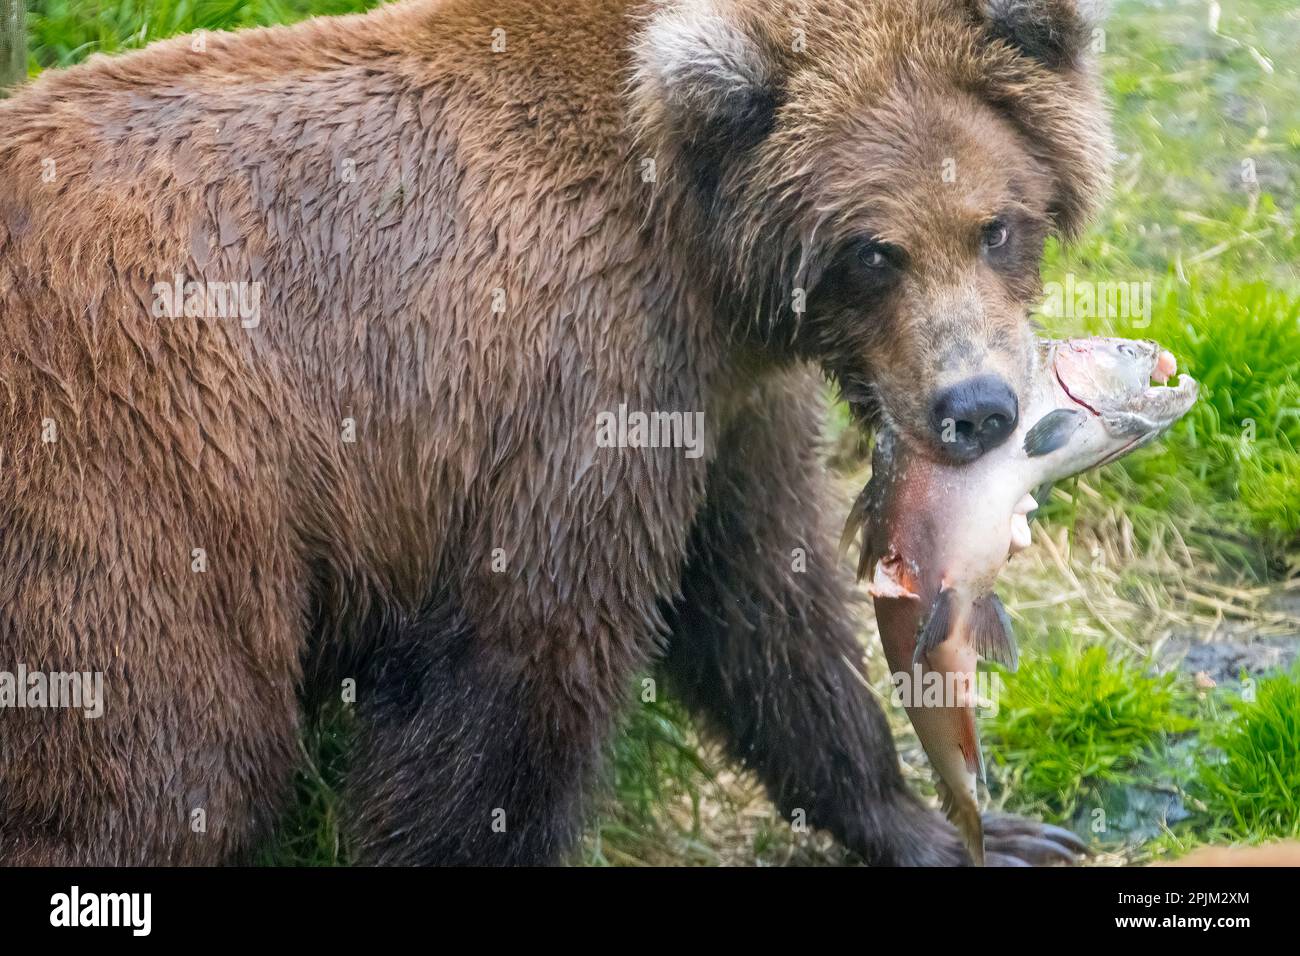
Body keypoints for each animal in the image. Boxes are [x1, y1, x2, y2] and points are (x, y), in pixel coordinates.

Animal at [0, 0, 1109, 865]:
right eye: (874, 251)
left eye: (997, 224)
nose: (975, 405)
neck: (702, 264)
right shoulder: (564, 393)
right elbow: (516, 682)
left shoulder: (719, 411)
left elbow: (766, 606)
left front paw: (962, 826)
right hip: (137, 471)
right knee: (167, 763)